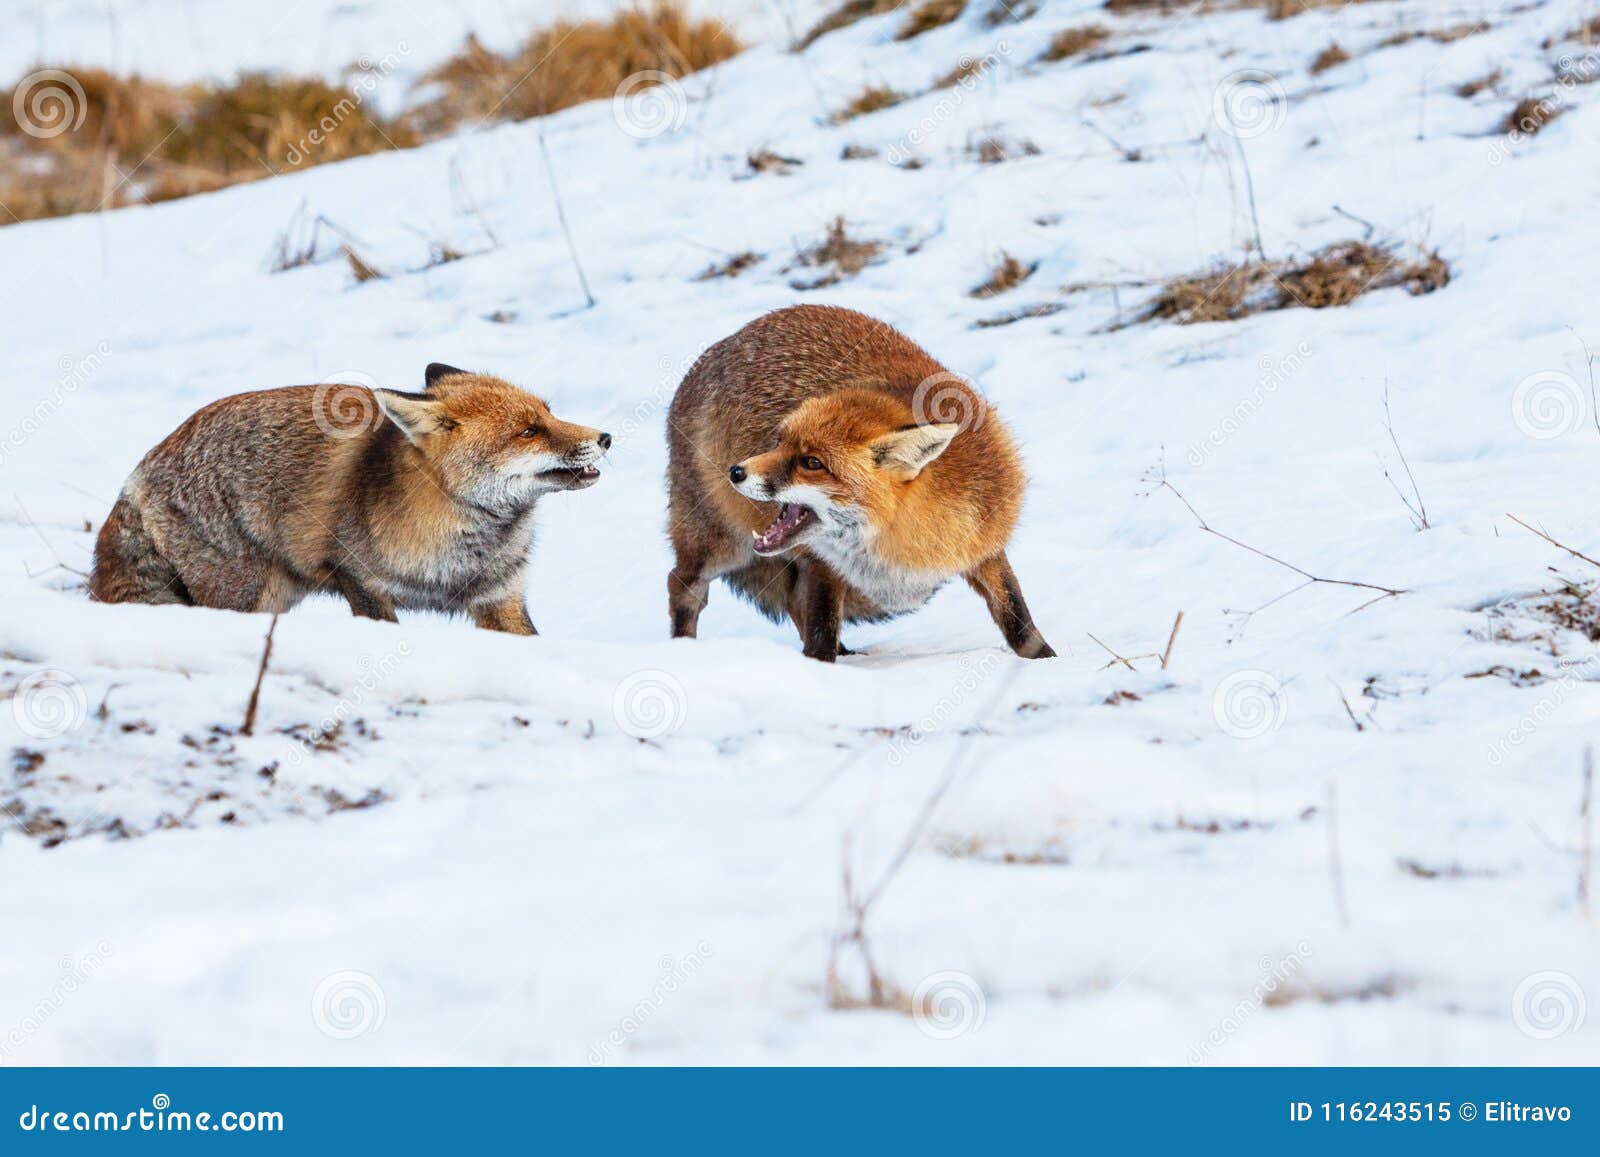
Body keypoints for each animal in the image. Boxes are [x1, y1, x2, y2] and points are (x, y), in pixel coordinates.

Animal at [90, 363, 610, 634]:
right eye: (528, 431)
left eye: (549, 413)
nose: (606, 437)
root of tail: (140, 471)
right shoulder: (359, 580)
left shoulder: (501, 596)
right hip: (248, 595)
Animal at [666, 305, 1055, 662]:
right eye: (778, 441)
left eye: (812, 463)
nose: (735, 472)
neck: (893, 550)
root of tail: (720, 345)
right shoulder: (824, 566)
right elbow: (821, 624)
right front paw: (820, 668)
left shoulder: (983, 545)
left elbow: (1017, 618)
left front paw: (1046, 661)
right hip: (721, 544)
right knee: (682, 585)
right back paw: (683, 651)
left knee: (791, 601)